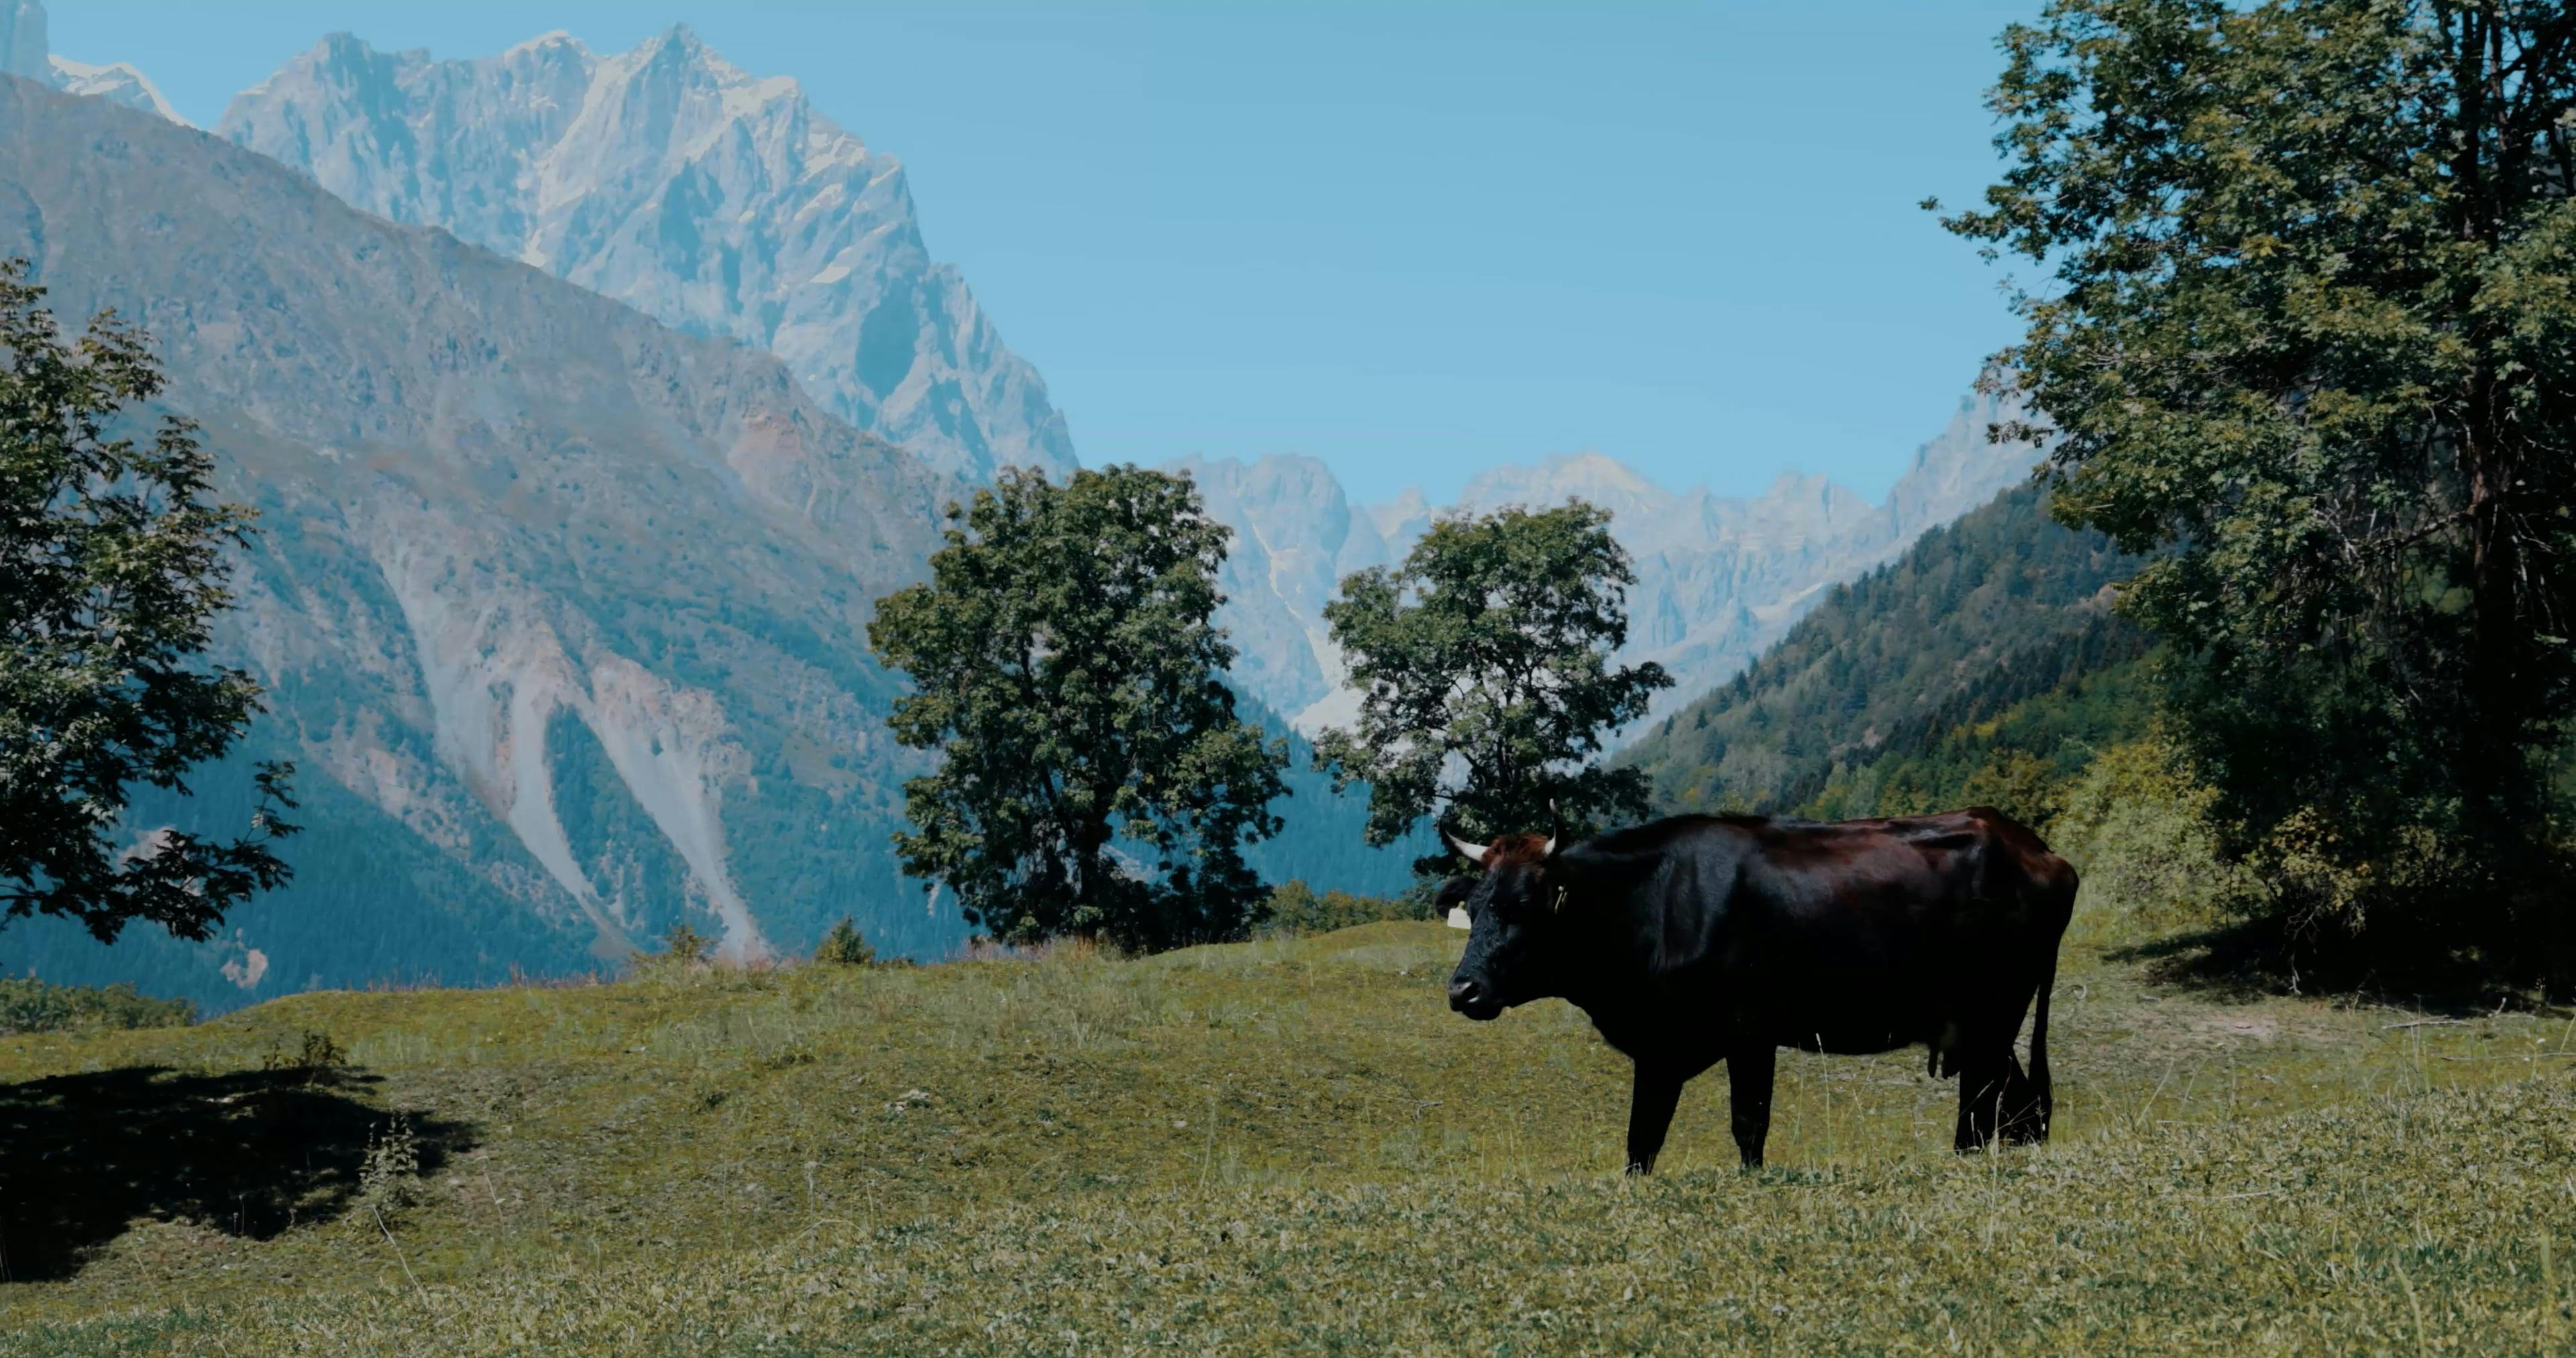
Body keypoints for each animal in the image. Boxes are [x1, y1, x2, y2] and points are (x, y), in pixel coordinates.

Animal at [1441, 806, 2076, 1172]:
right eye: (1473, 904)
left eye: (1523, 904)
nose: (1462, 990)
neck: (1651, 904)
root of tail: (2038, 848)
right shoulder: (1661, 1044)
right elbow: (1642, 1137)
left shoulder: (1749, 1032)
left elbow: (1748, 1123)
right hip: (1984, 1026)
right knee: (2021, 1107)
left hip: (1991, 1014)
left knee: (1987, 1105)